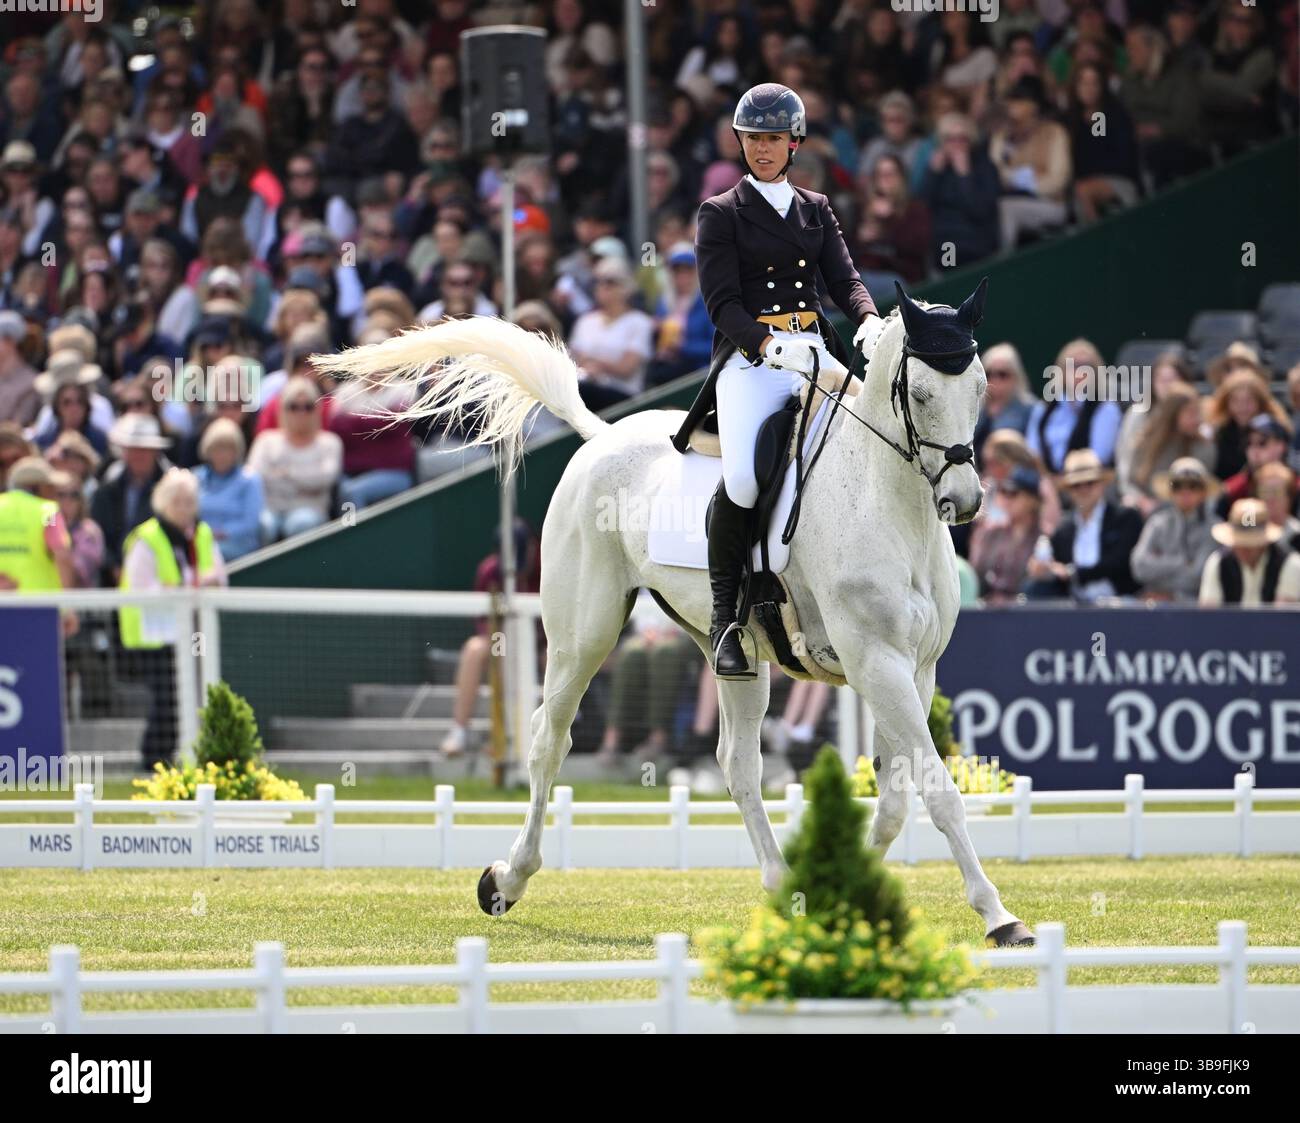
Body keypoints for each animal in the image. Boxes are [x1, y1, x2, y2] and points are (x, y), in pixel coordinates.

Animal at [312, 281, 1035, 947]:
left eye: (980, 388)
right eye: (921, 395)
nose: (966, 500)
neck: (885, 499)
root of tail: (603, 436)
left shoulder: (913, 668)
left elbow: (892, 798)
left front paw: (841, 885)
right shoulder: (875, 660)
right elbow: (937, 789)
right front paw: (1001, 917)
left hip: (739, 656)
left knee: (737, 763)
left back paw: (782, 885)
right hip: (581, 636)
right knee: (549, 743)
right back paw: (507, 879)